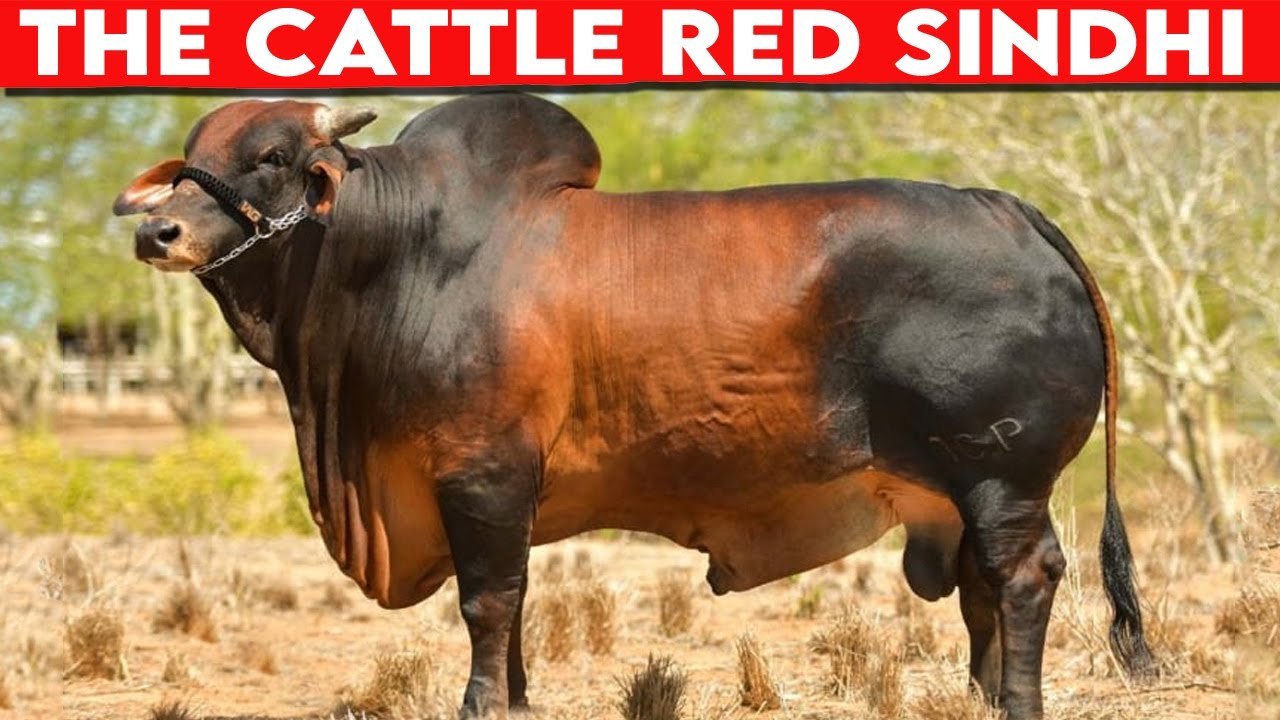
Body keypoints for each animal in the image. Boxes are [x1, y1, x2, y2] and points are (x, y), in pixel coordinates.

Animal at [114, 93, 1153, 719]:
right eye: (194, 155)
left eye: (272, 154)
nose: (158, 232)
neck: (395, 254)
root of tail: (1009, 209)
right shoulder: (503, 494)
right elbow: (513, 603)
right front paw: (517, 700)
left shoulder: (482, 475)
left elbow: (488, 601)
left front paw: (482, 703)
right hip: (963, 489)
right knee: (982, 588)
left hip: (1001, 475)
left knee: (1023, 578)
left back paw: (1019, 702)